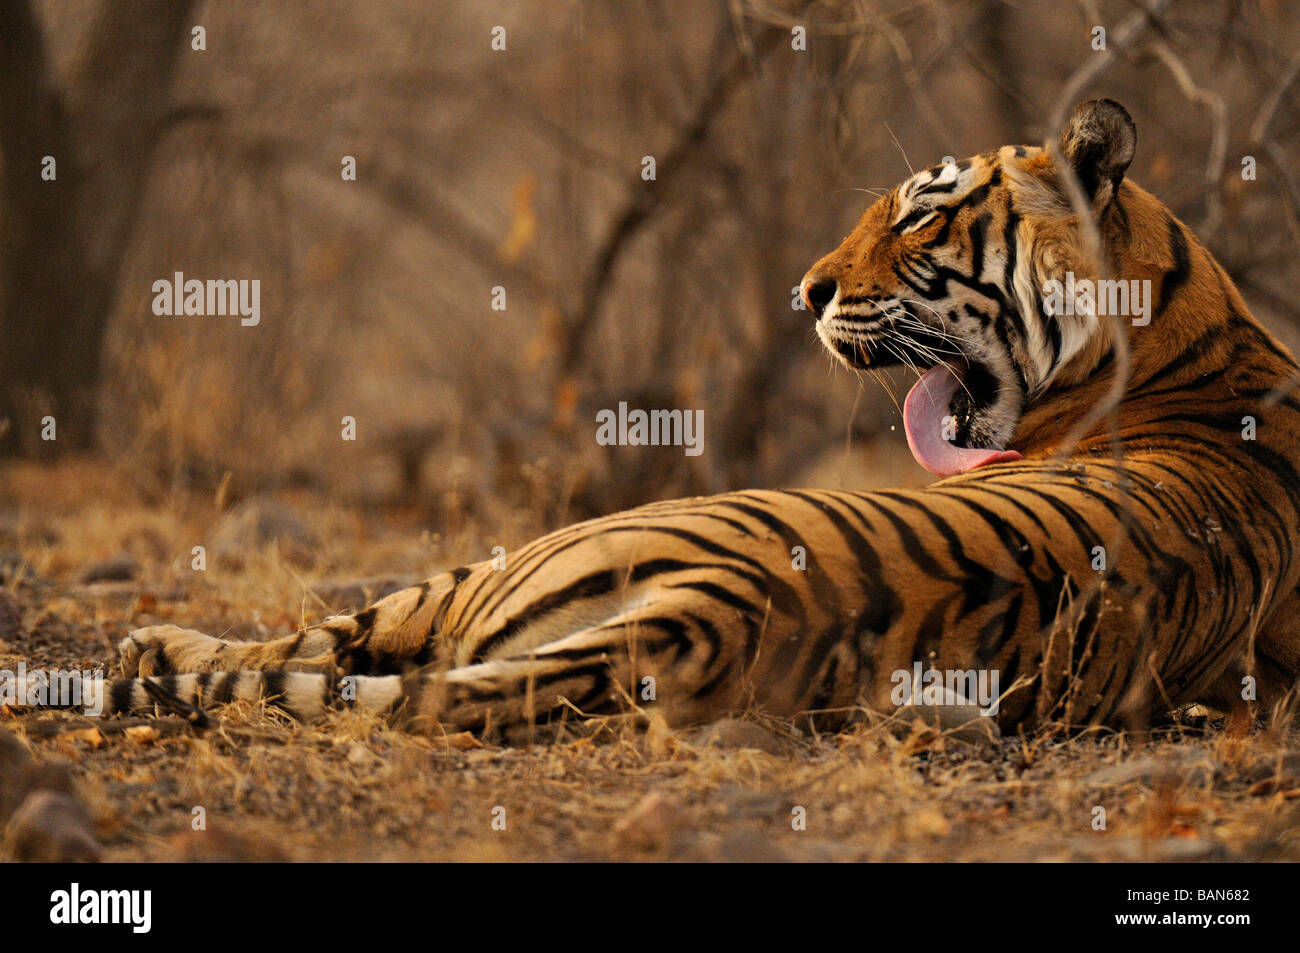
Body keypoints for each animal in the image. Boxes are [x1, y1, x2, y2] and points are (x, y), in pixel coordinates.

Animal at [37, 99, 1300, 737]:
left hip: (525, 555)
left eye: (919, 219)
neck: (1187, 326)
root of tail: (715, 615)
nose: (805, 290)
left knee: (324, 638)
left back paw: (153, 642)